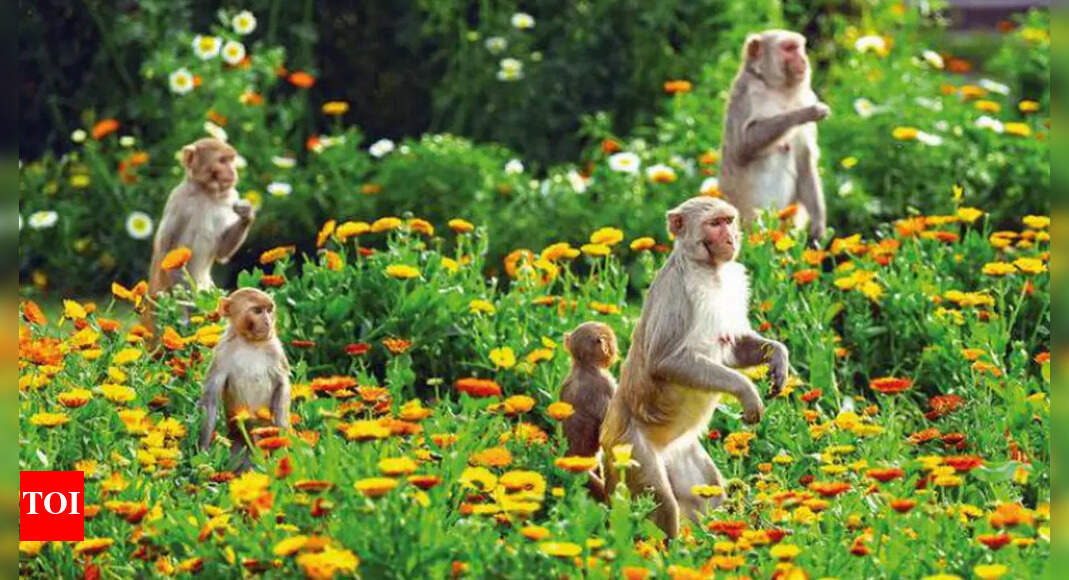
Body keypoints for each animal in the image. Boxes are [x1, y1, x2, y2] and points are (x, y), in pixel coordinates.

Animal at [143, 138, 254, 332]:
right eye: (222, 161)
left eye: (231, 160)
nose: (233, 171)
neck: (206, 192)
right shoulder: (177, 200)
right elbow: (167, 250)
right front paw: (186, 304)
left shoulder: (231, 197)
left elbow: (222, 252)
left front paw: (246, 214)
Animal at [199, 288, 290, 471]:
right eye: (257, 311)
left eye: (269, 309)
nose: (268, 322)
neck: (250, 343)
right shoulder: (222, 351)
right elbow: (211, 398)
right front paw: (203, 451)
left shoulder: (275, 348)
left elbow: (282, 383)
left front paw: (281, 436)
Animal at [599, 196, 788, 538]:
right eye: (714, 224)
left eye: (728, 220)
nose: (730, 238)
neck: (708, 269)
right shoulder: (678, 292)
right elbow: (665, 360)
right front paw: (746, 391)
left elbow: (734, 349)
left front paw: (779, 357)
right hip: (629, 450)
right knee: (661, 504)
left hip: (679, 453)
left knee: (706, 492)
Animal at [720, 29, 830, 243]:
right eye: (789, 48)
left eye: (800, 47)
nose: (803, 60)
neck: (778, 89)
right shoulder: (748, 94)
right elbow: (743, 147)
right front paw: (805, 113)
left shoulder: (806, 96)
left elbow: (804, 160)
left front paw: (818, 223)